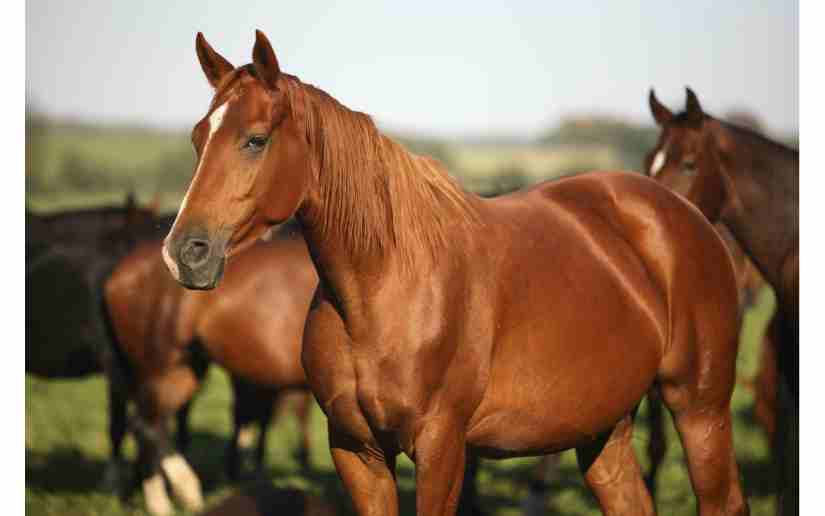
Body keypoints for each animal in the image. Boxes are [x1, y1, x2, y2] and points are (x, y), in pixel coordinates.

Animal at [105, 220, 318, 516]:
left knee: (153, 426)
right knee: (146, 428)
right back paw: (162, 503)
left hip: (184, 371)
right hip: (160, 370)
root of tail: (119, 274)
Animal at [162, 31, 749, 516]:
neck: (382, 288)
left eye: (255, 139)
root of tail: (683, 214)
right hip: (604, 428)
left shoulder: (441, 447)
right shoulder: (356, 450)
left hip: (700, 408)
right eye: (197, 138)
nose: (184, 253)